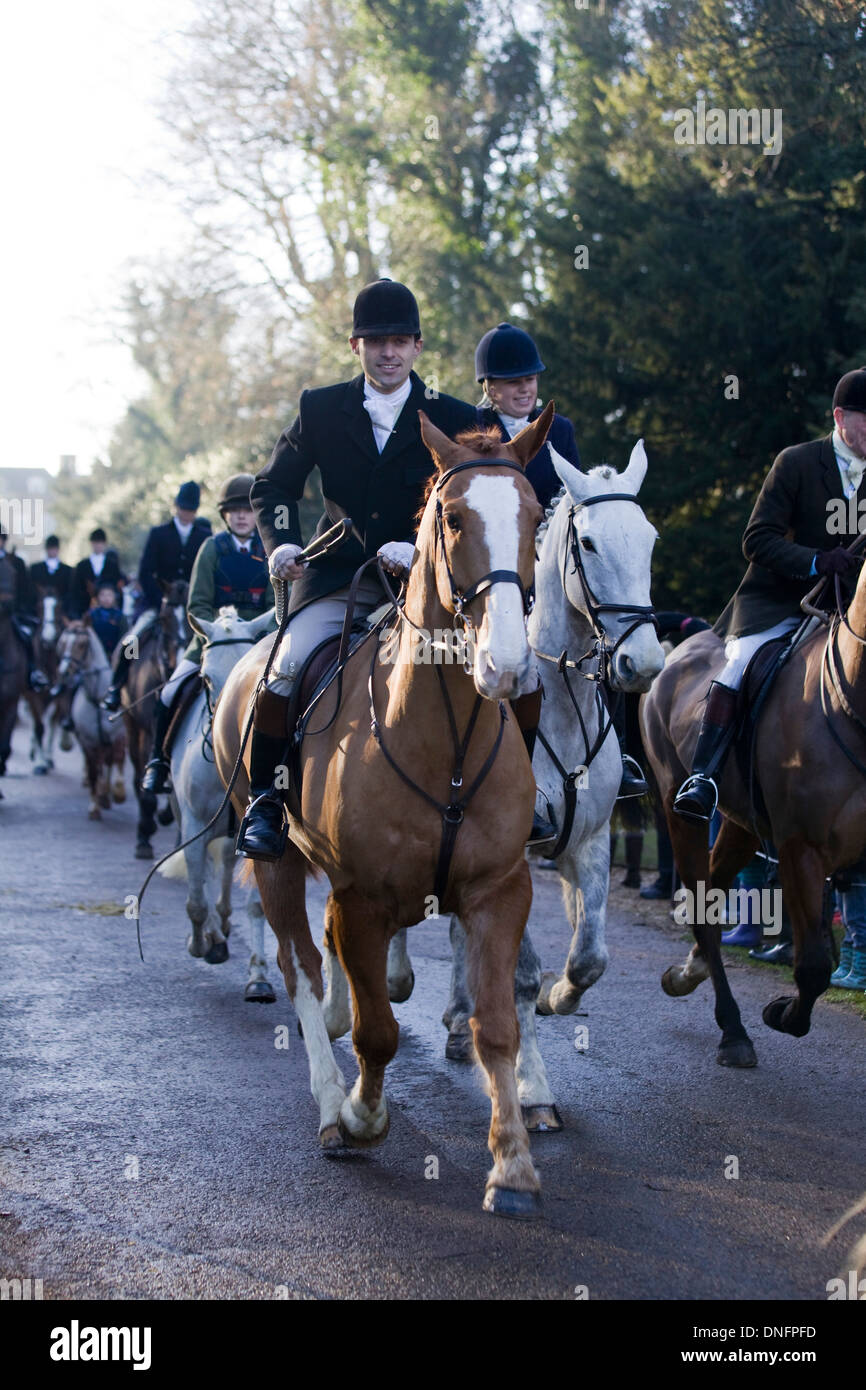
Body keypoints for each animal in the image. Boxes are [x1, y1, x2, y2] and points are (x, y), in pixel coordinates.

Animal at [157, 608, 276, 1000]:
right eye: (206, 678)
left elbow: (256, 905)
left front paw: (258, 975)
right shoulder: (194, 827)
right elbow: (196, 897)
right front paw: (200, 942)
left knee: (223, 866)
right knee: (207, 877)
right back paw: (212, 935)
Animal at [215, 405, 556, 1217]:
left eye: (535, 516)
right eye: (454, 518)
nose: (506, 665)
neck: (447, 740)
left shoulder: (499, 892)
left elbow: (496, 1026)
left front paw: (513, 1166)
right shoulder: (361, 898)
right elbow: (378, 1034)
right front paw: (360, 1117)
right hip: (275, 861)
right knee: (303, 969)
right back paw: (328, 1100)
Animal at [639, 558, 866, 1067]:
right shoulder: (801, 848)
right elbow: (813, 967)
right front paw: (781, 1013)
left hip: (742, 825)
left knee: (713, 891)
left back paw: (691, 970)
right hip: (682, 812)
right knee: (703, 905)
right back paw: (732, 1029)